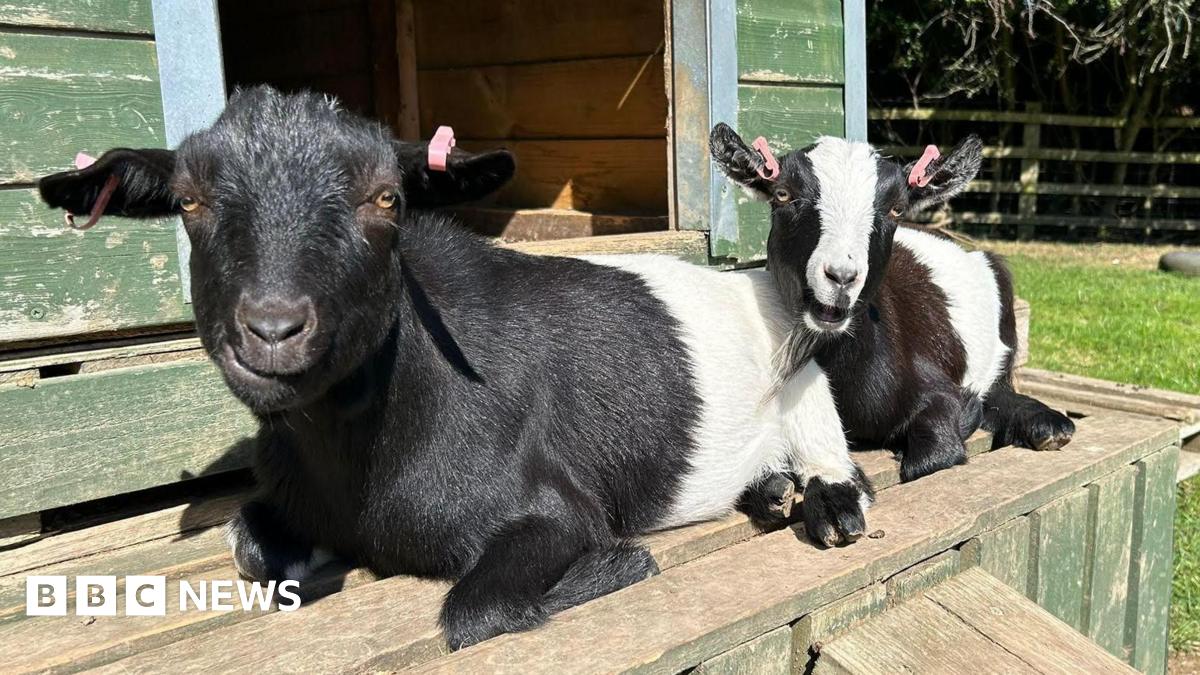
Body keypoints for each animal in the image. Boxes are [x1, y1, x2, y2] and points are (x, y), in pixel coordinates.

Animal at [38, 87, 871, 649]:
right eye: (188, 200)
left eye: (386, 197)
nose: (272, 330)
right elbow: (247, 540)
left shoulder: (555, 506)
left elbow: (474, 610)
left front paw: (616, 566)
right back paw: (769, 490)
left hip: (806, 388)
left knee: (840, 463)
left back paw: (821, 501)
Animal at [710, 124, 1075, 494]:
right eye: (783, 195)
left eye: (896, 209)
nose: (841, 277)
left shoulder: (938, 391)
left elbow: (930, 456)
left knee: (1001, 384)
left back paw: (1048, 426)